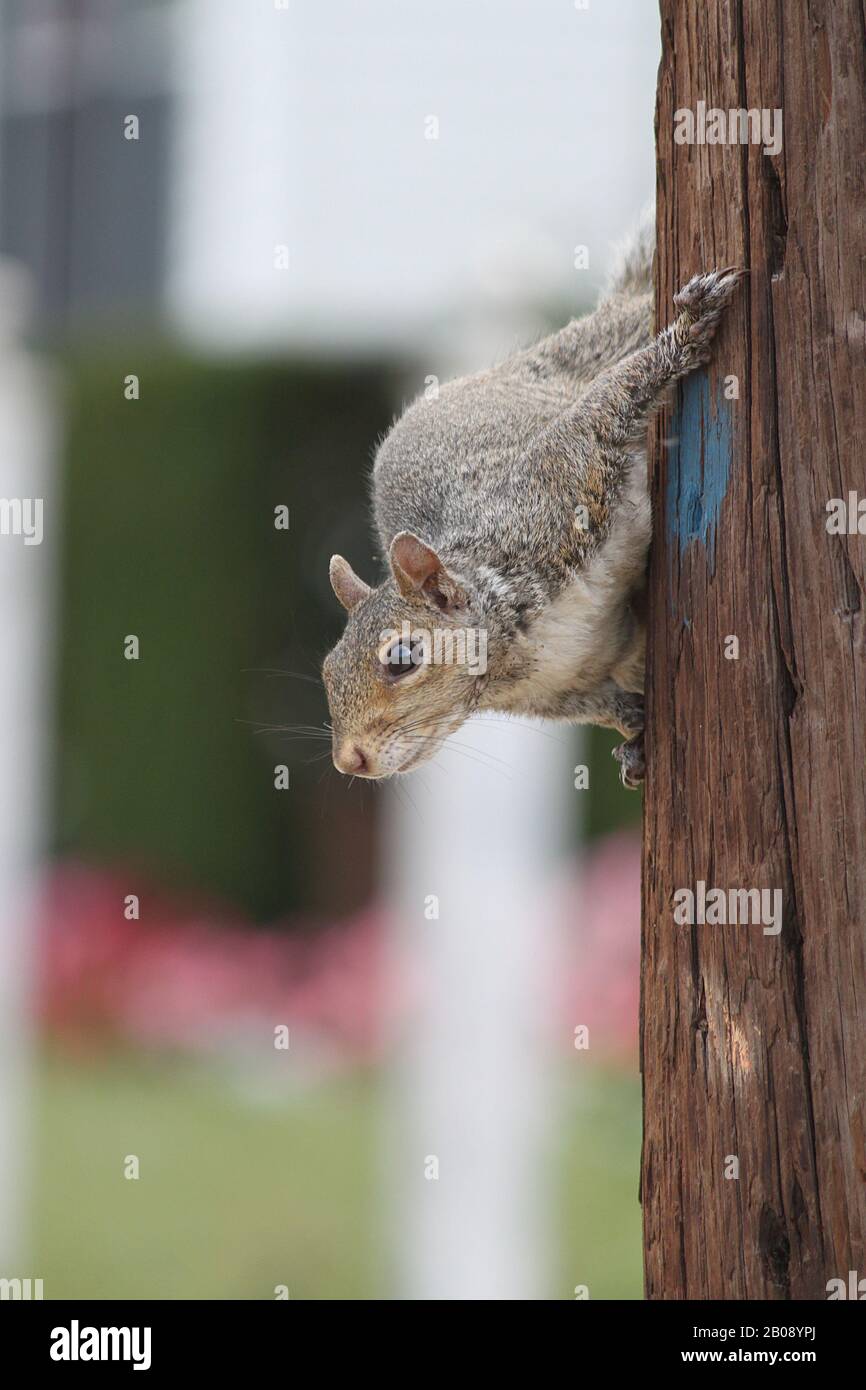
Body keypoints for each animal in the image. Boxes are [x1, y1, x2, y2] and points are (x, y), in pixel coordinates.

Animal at [322, 215, 742, 788]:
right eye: (327, 671)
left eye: (403, 658)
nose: (350, 761)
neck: (514, 653)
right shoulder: (560, 688)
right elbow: (599, 703)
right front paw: (632, 732)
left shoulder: (555, 496)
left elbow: (605, 408)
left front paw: (684, 334)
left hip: (597, 345)